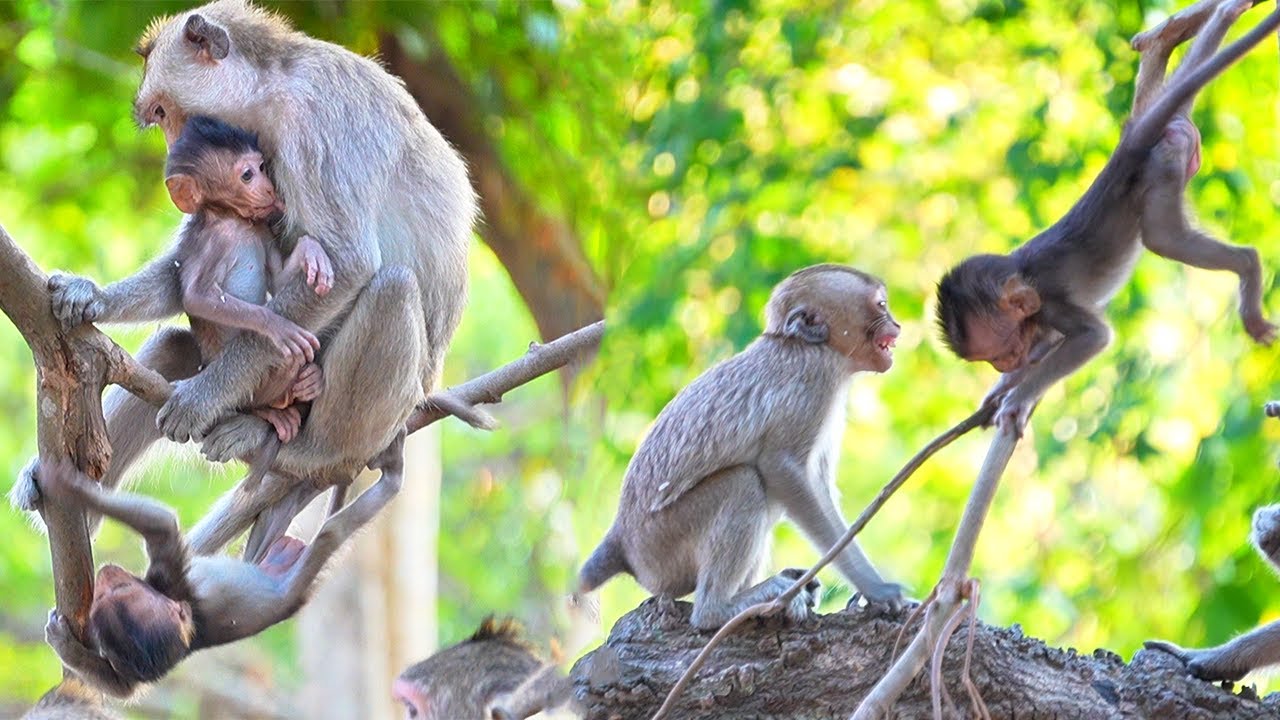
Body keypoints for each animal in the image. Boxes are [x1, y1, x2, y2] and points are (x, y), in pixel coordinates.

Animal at [11, 0, 483, 532]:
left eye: (162, 112)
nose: (172, 153)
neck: (275, 86)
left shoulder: (317, 122)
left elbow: (346, 263)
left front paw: (202, 398)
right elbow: (187, 277)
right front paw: (91, 296)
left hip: (366, 409)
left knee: (392, 288)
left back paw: (306, 451)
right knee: (175, 346)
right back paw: (66, 494)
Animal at [36, 435, 405, 697]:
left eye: (123, 588)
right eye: (101, 600)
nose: (108, 573)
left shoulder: (170, 576)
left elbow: (161, 525)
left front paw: (70, 487)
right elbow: (124, 688)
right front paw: (66, 647)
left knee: (330, 531)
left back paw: (388, 476)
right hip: (279, 562)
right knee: (305, 530)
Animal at [578, 264, 904, 630]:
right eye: (880, 305)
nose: (897, 324)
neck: (811, 347)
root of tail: (621, 543)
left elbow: (817, 485)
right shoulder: (812, 385)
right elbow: (782, 469)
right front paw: (875, 587)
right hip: (660, 547)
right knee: (744, 482)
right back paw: (720, 608)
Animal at [933, 0, 1275, 434]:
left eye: (1003, 349)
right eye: (993, 359)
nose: (1004, 365)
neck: (1023, 274)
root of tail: (1129, 146)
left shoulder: (1051, 303)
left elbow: (1092, 337)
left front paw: (1018, 397)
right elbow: (1046, 346)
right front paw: (1001, 391)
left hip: (1163, 162)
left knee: (1163, 237)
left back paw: (1248, 266)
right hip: (1172, 144)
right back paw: (1213, 22)